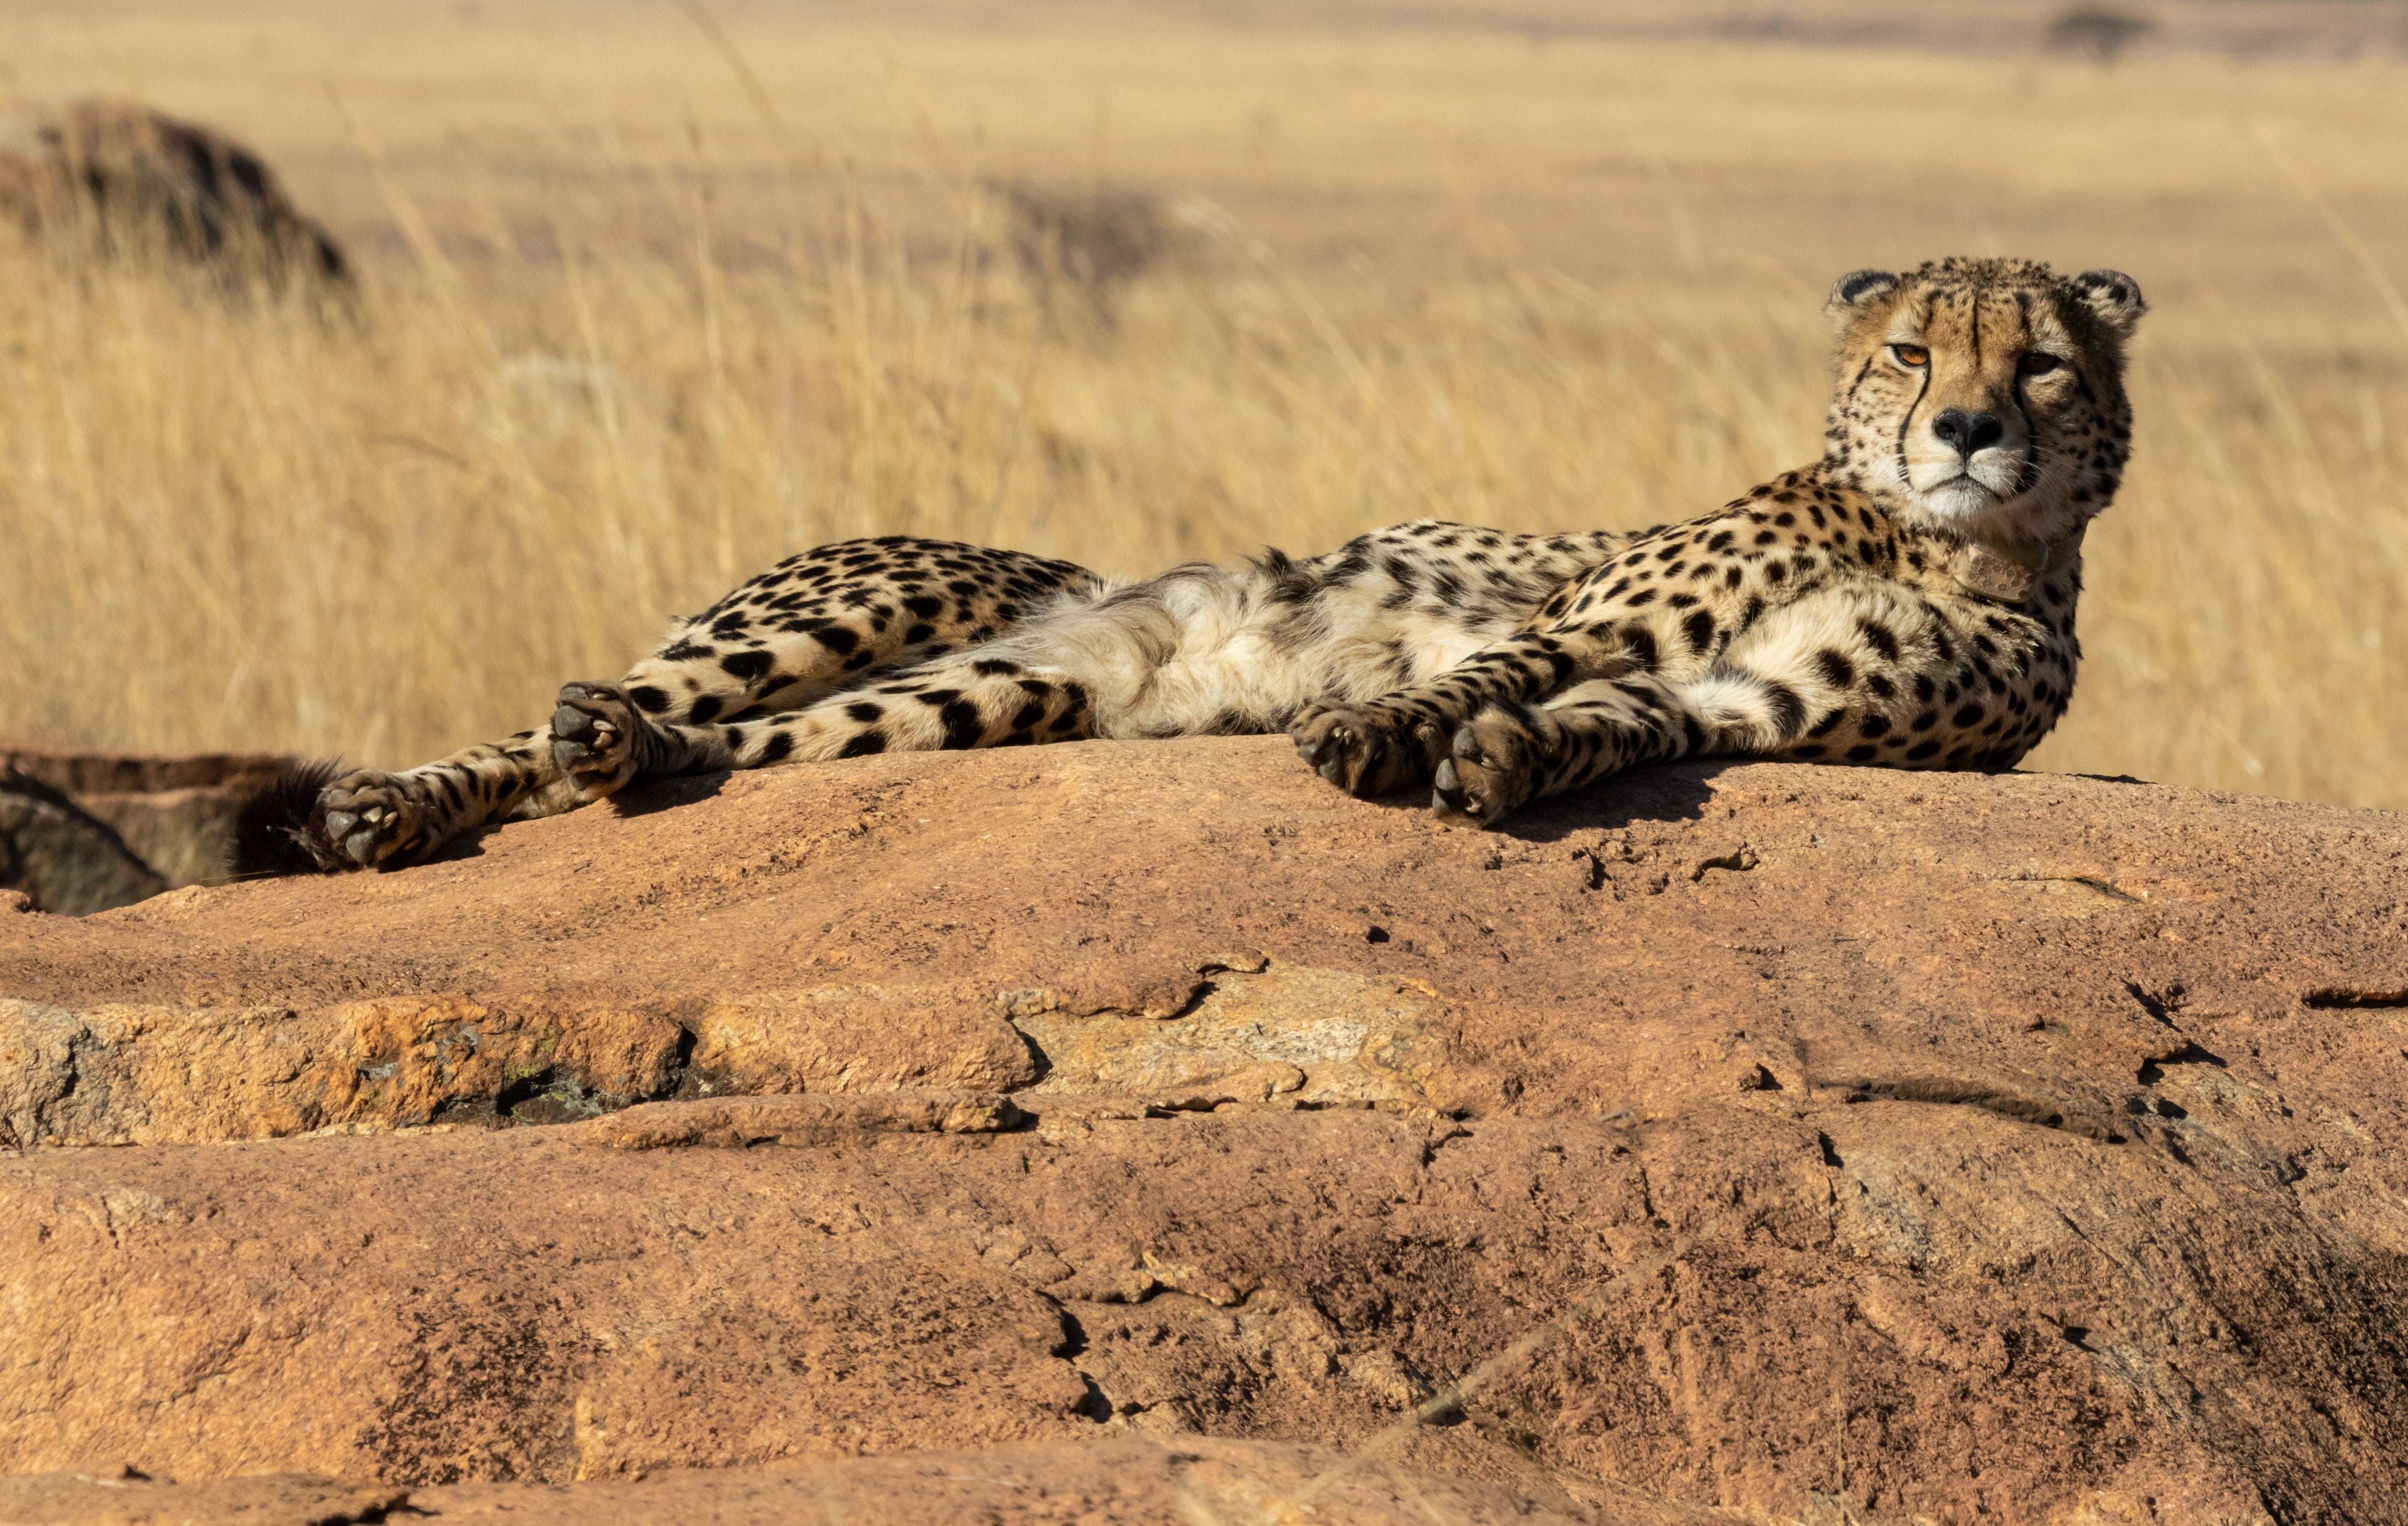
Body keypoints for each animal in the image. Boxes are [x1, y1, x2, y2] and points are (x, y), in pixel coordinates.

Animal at [248, 256, 2143, 875]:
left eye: (2042, 362)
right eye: (1911, 350)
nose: (1967, 426)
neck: (1946, 546)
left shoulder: (1750, 699)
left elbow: (1616, 728)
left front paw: (1503, 771)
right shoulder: (1594, 611)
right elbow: (1499, 661)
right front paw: (1385, 734)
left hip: (976, 697)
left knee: (702, 748)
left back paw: (627, 758)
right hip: (874, 600)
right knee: (558, 721)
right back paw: (389, 805)